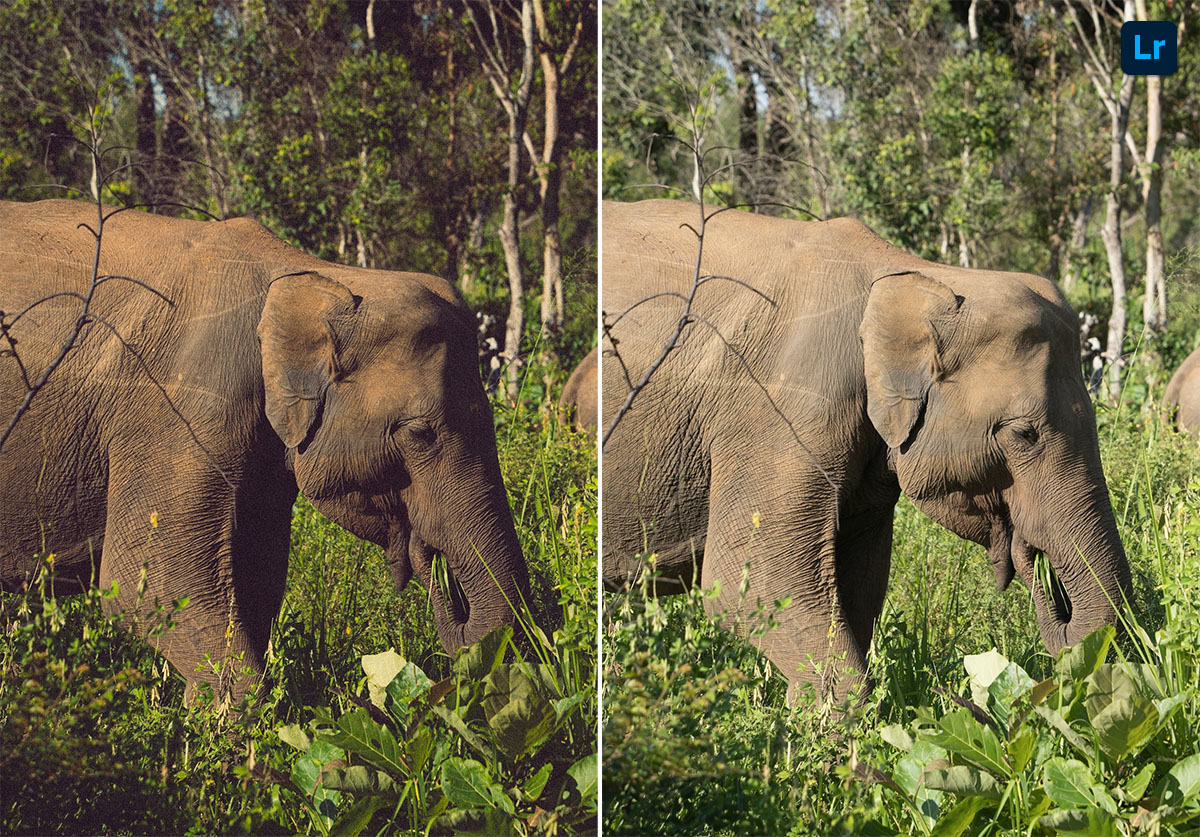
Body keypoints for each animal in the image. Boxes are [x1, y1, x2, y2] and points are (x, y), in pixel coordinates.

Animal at [0, 199, 533, 698]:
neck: (313, 275)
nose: (433, 559)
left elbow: (256, 581)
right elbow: (149, 586)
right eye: (420, 433)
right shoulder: (180, 410)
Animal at [601, 199, 1132, 699]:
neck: (914, 274)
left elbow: (860, 583)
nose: (1035, 561)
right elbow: (750, 585)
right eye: (1023, 434)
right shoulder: (783, 410)